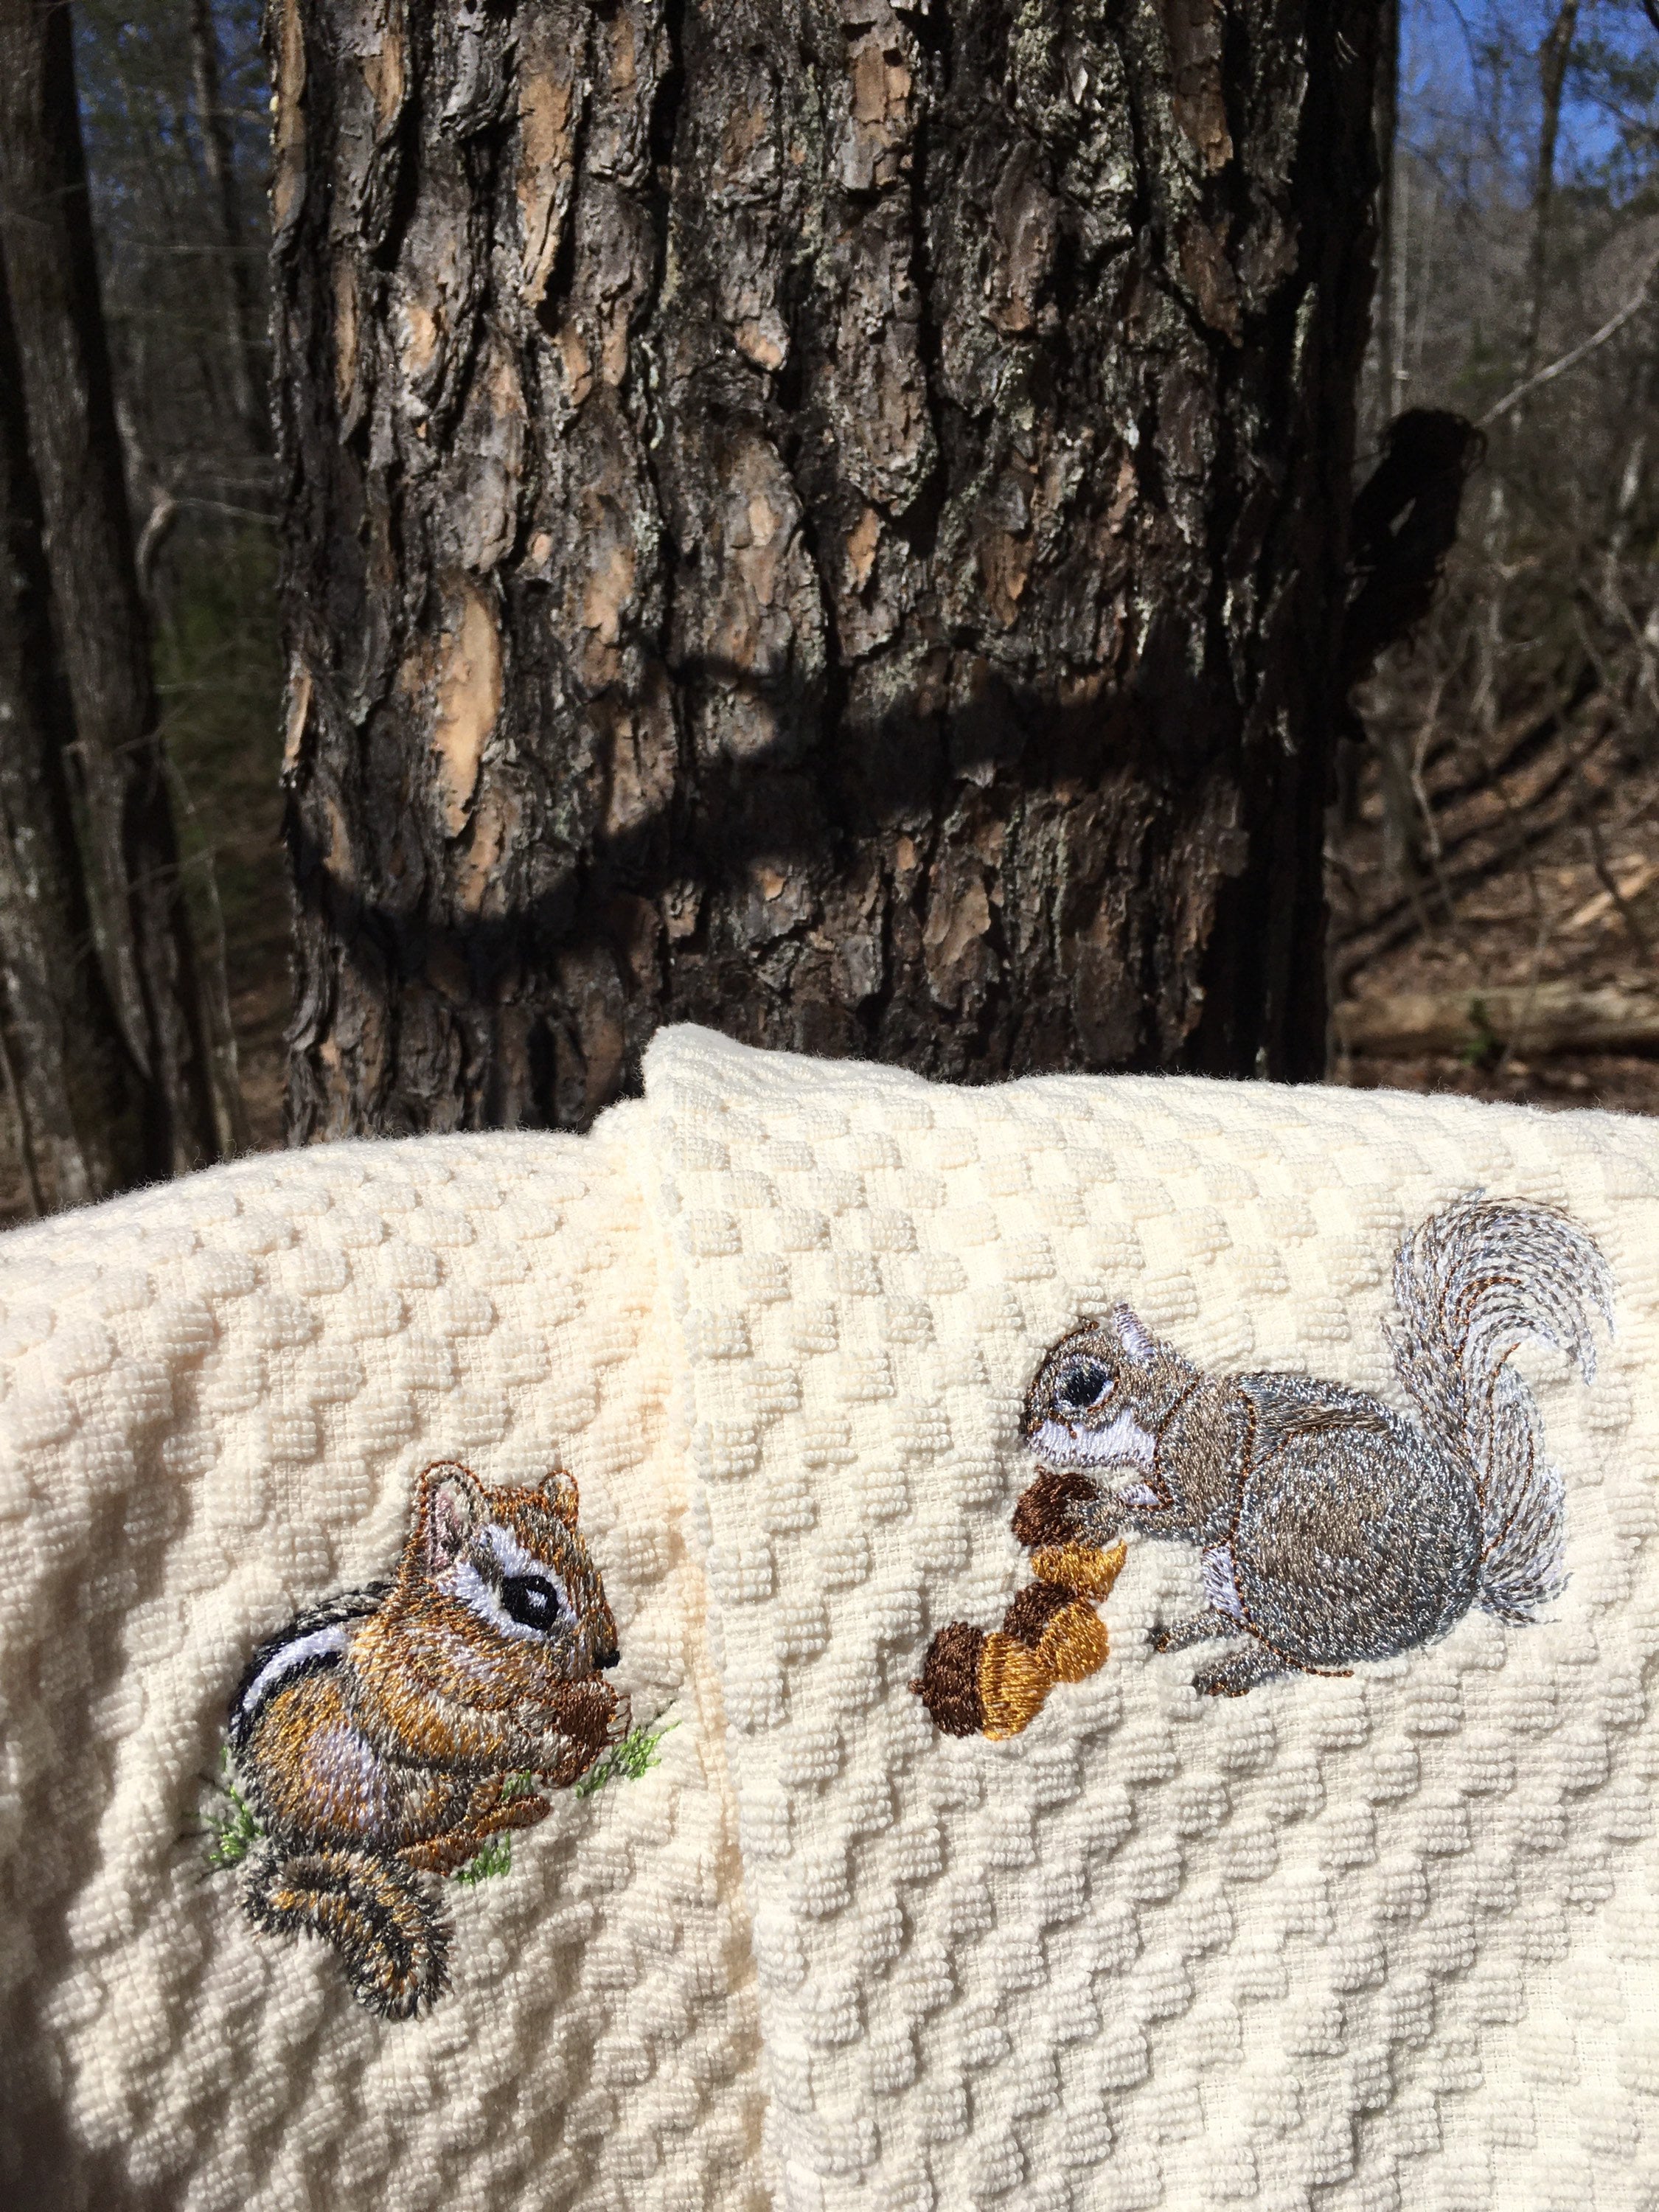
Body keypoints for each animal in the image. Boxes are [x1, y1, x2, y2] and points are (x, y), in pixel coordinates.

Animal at [226, 1460, 625, 2018]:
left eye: (594, 1570)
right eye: (534, 1599)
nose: (610, 1655)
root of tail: (302, 1841)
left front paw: (598, 1710)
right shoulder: (399, 1694)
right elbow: (456, 1735)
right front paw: (548, 1743)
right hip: (393, 1797)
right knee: (420, 1853)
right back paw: (485, 1824)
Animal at [917, 1195, 1611, 1719]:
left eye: (1085, 1385)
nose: (1026, 1432)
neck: (1173, 1407)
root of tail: (1461, 1590)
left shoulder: (1211, 1448)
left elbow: (1190, 1515)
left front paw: (1102, 1513)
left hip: (1285, 1555)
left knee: (1295, 1655)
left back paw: (1234, 1668)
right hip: (1233, 1572)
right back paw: (1186, 1630)